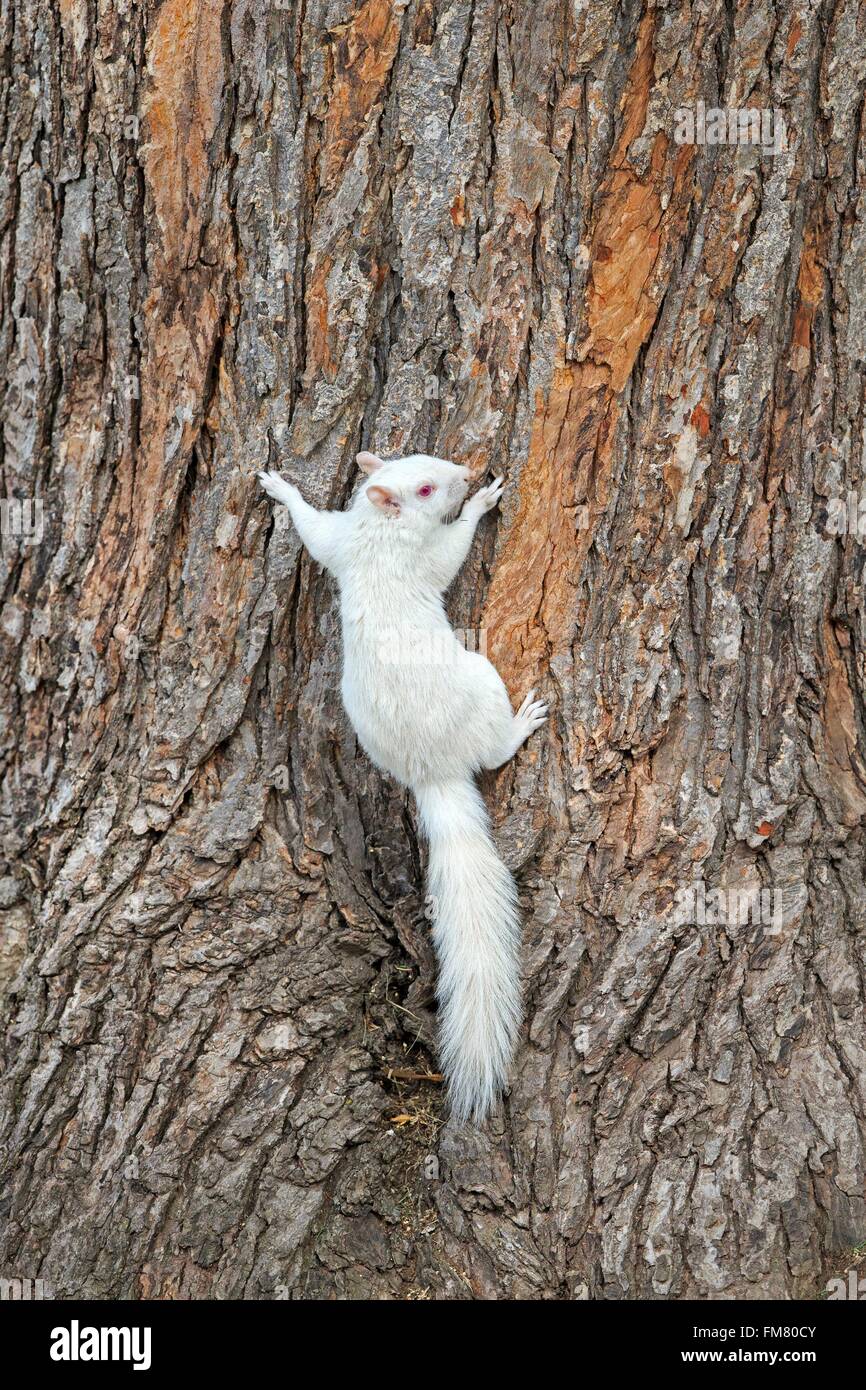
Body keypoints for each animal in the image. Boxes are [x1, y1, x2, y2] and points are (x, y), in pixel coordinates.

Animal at [258, 451, 547, 1122]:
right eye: (425, 487)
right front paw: (482, 503)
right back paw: (521, 725)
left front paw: (281, 489)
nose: (466, 471)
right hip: (481, 681)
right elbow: (454, 549)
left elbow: (311, 528)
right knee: (494, 747)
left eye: (424, 461)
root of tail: (432, 771)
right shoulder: (422, 557)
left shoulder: (337, 541)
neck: (377, 531)